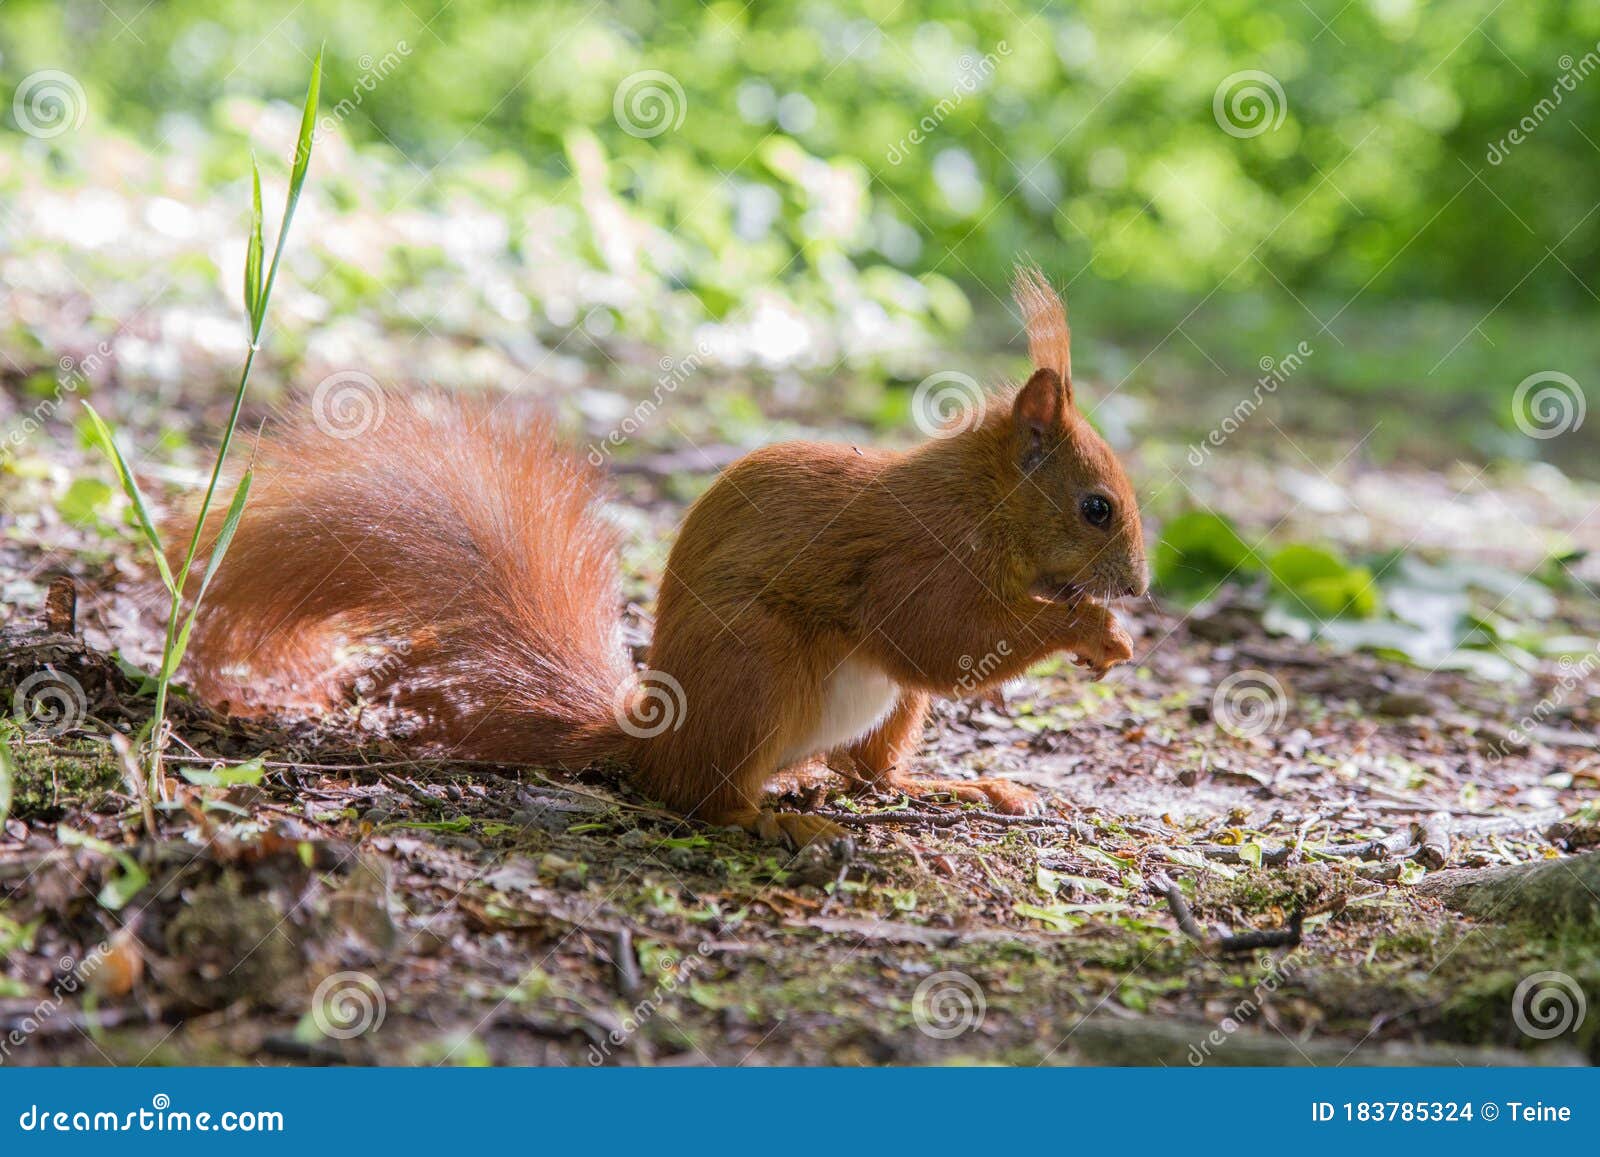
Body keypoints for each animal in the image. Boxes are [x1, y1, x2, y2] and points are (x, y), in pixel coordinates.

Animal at [174, 266, 1146, 848]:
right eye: (1096, 507)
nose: (1139, 586)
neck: (983, 502)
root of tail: (652, 735)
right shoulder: (911, 557)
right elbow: (937, 641)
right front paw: (1090, 628)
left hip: (875, 710)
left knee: (869, 773)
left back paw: (958, 786)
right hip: (760, 670)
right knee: (708, 798)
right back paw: (779, 823)